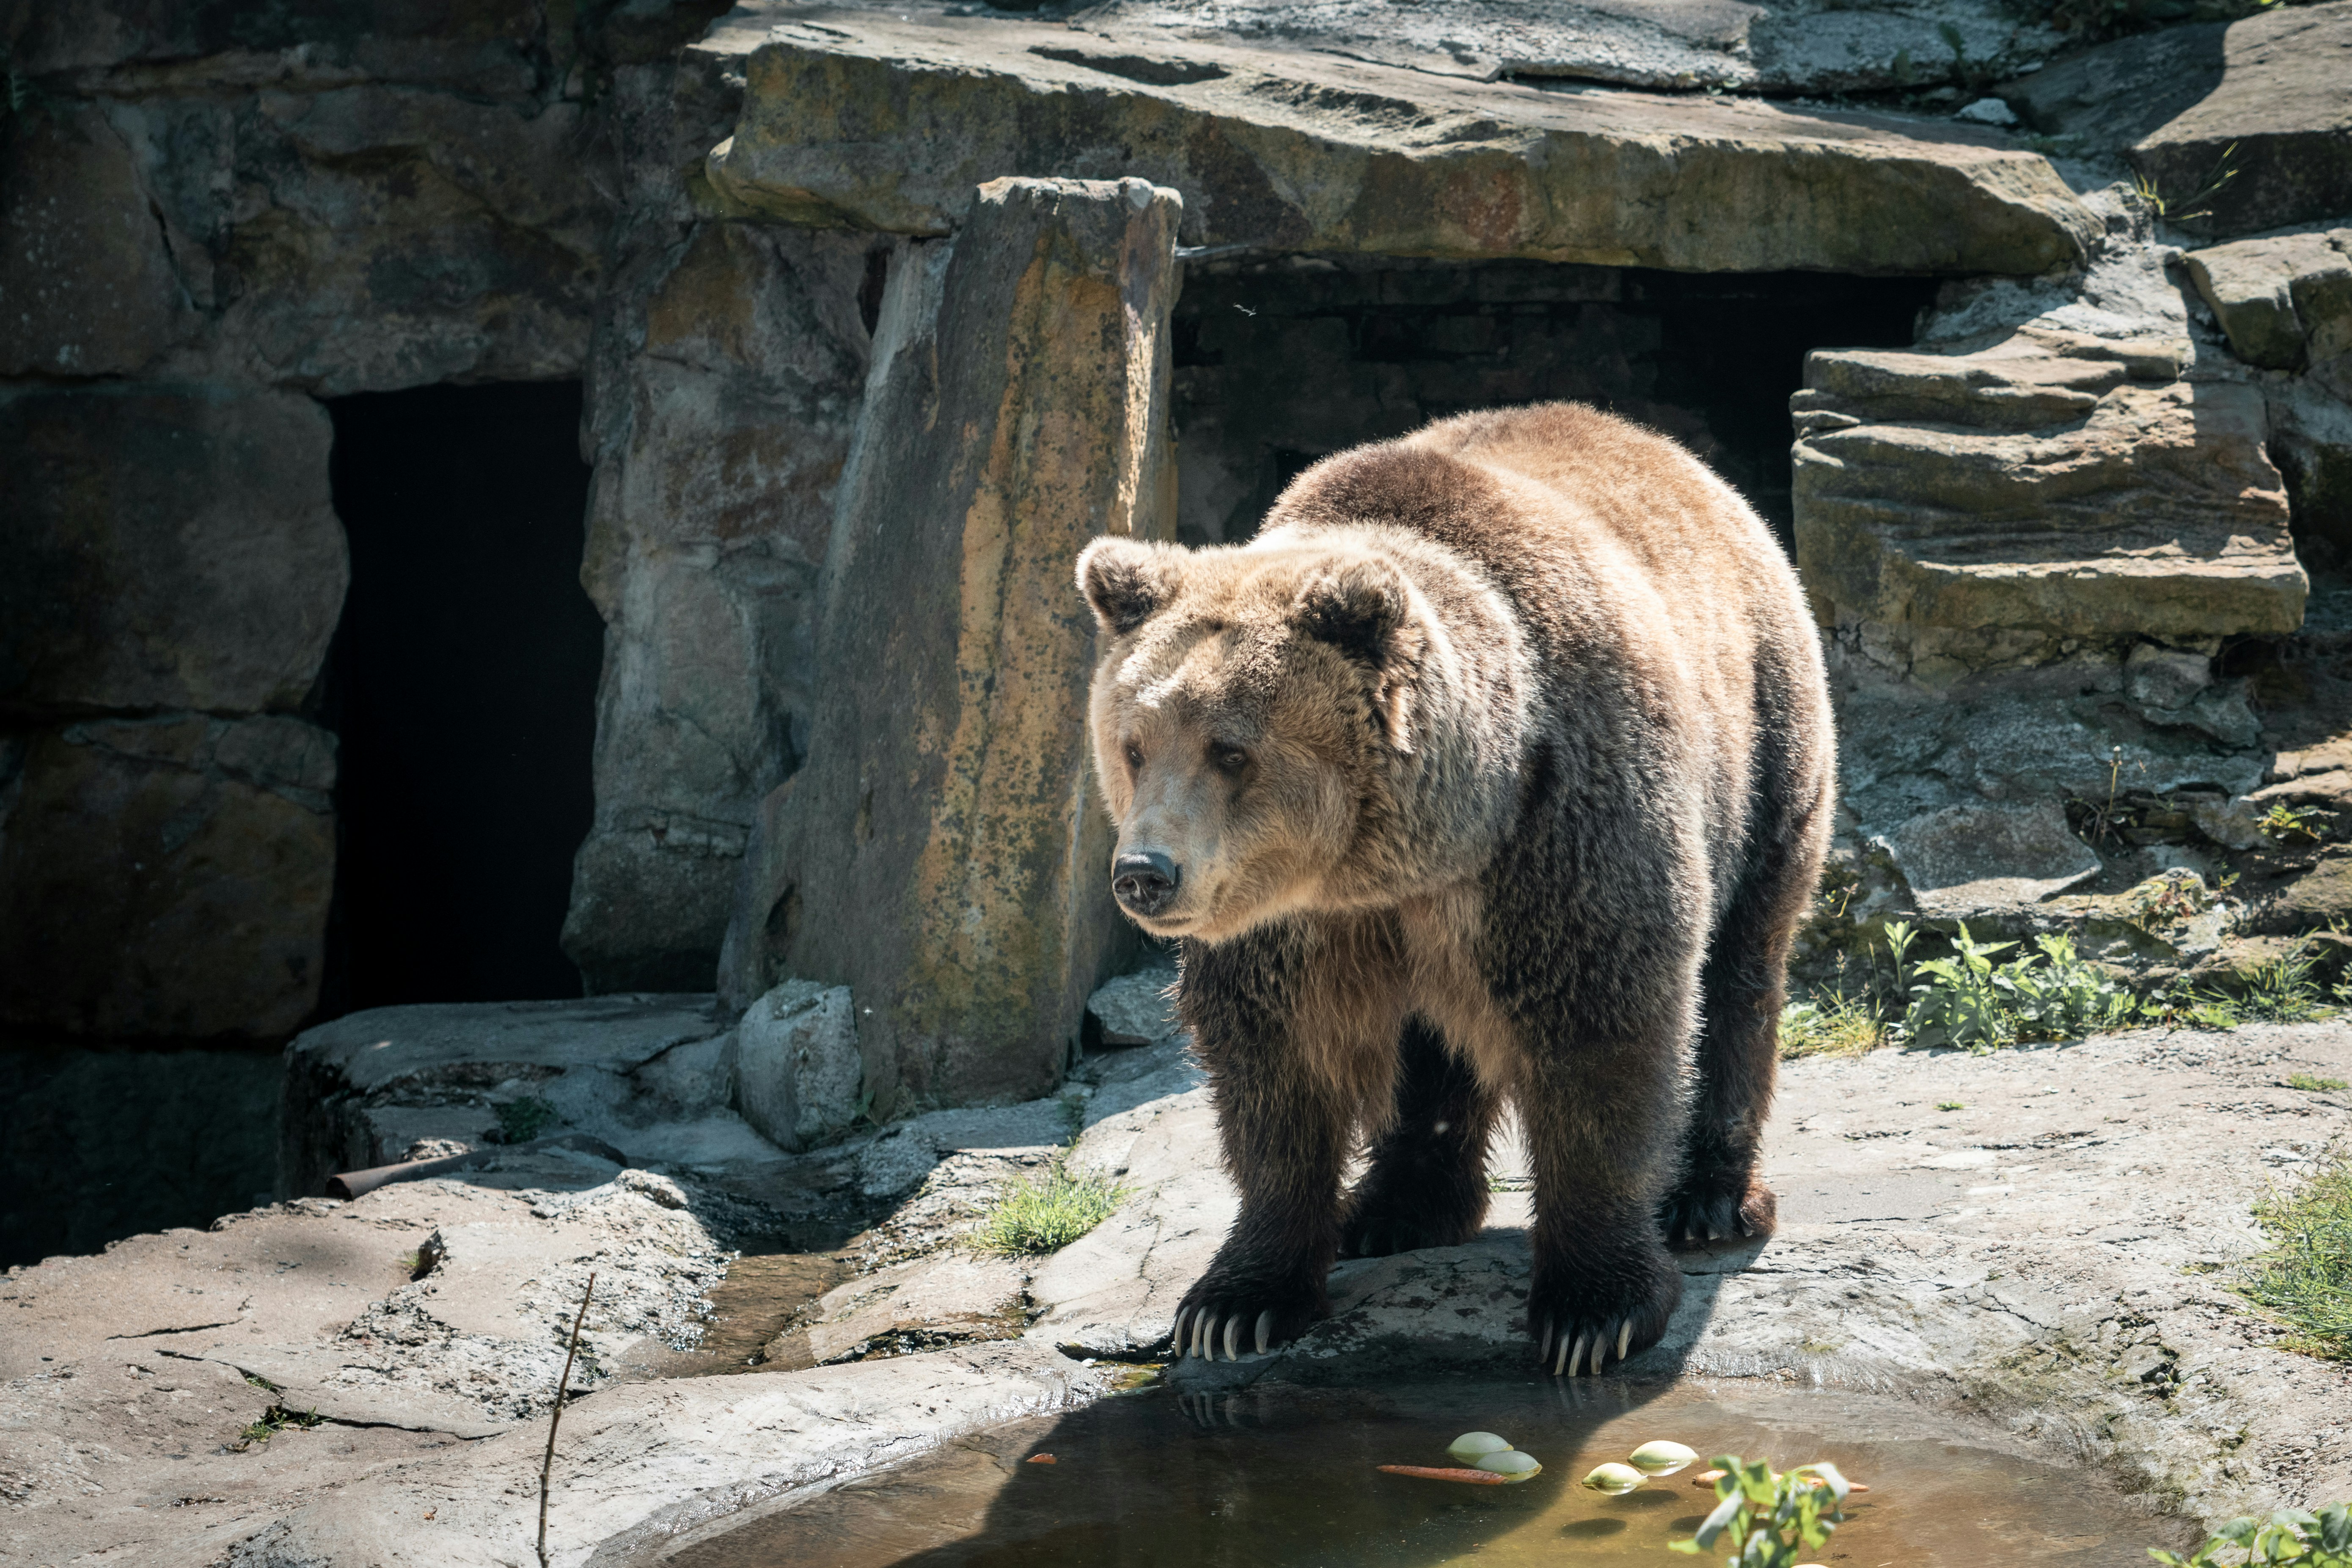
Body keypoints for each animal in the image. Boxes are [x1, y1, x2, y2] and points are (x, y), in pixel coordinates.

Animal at [1074, 401, 1835, 1375]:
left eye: (1231, 750)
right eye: (1133, 746)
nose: (1144, 873)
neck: (1408, 855)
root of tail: (1677, 458)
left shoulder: (1561, 825)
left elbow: (1601, 1031)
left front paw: (1592, 1310)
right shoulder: (1290, 921)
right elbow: (1274, 1068)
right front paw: (1236, 1302)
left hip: (1763, 744)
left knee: (1741, 966)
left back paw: (1708, 1198)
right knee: (1427, 1042)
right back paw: (1396, 1206)